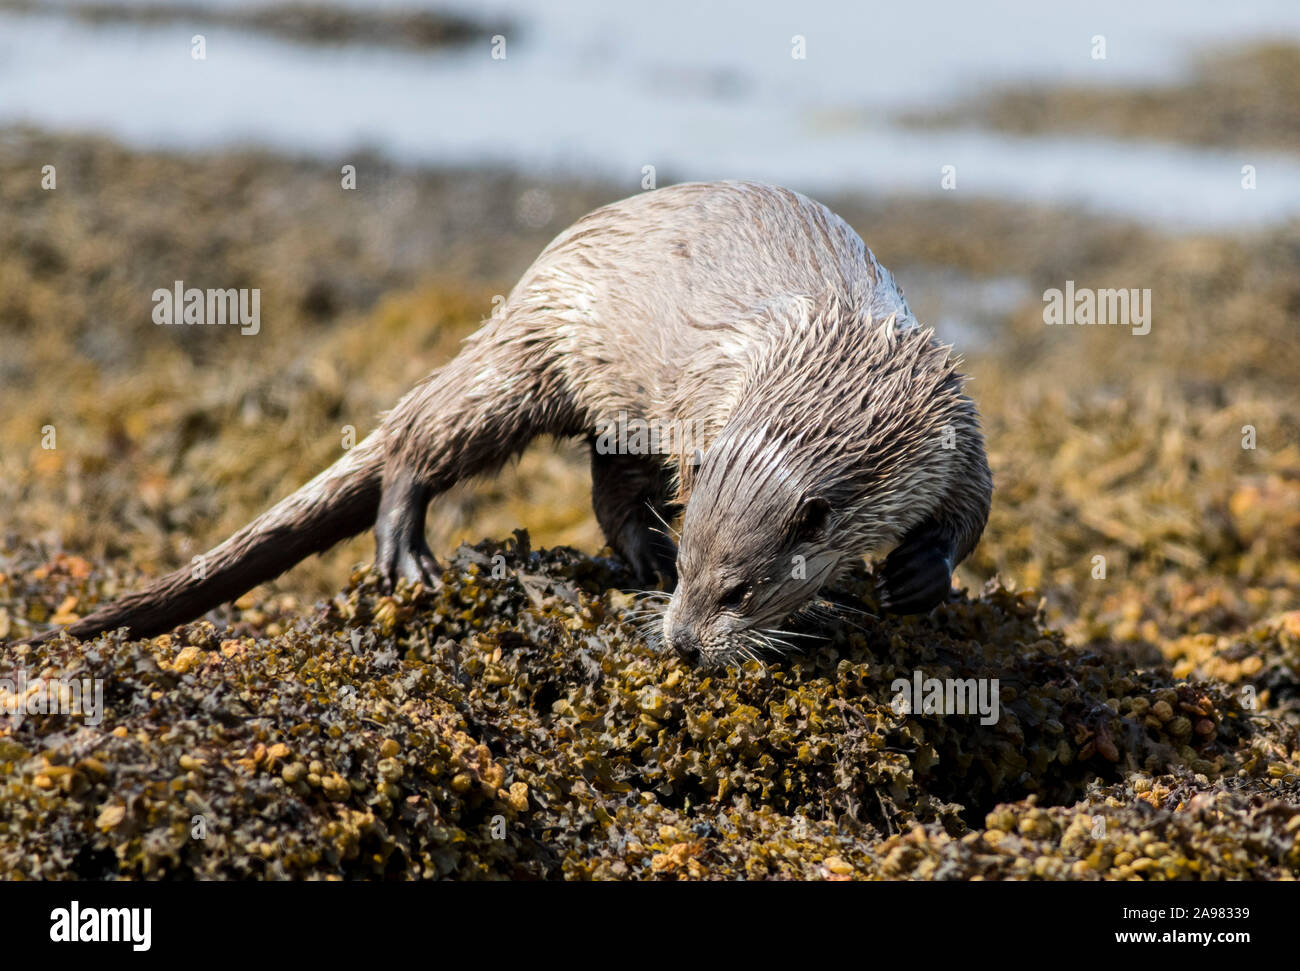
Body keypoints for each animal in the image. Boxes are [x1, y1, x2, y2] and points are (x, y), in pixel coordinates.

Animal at [30, 181, 992, 665]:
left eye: (736, 589)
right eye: (702, 576)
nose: (680, 642)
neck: (842, 364)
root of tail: (550, 256)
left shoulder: (949, 417)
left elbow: (972, 507)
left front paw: (918, 575)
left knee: (607, 474)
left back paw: (633, 551)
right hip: (529, 357)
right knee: (421, 435)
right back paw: (408, 550)